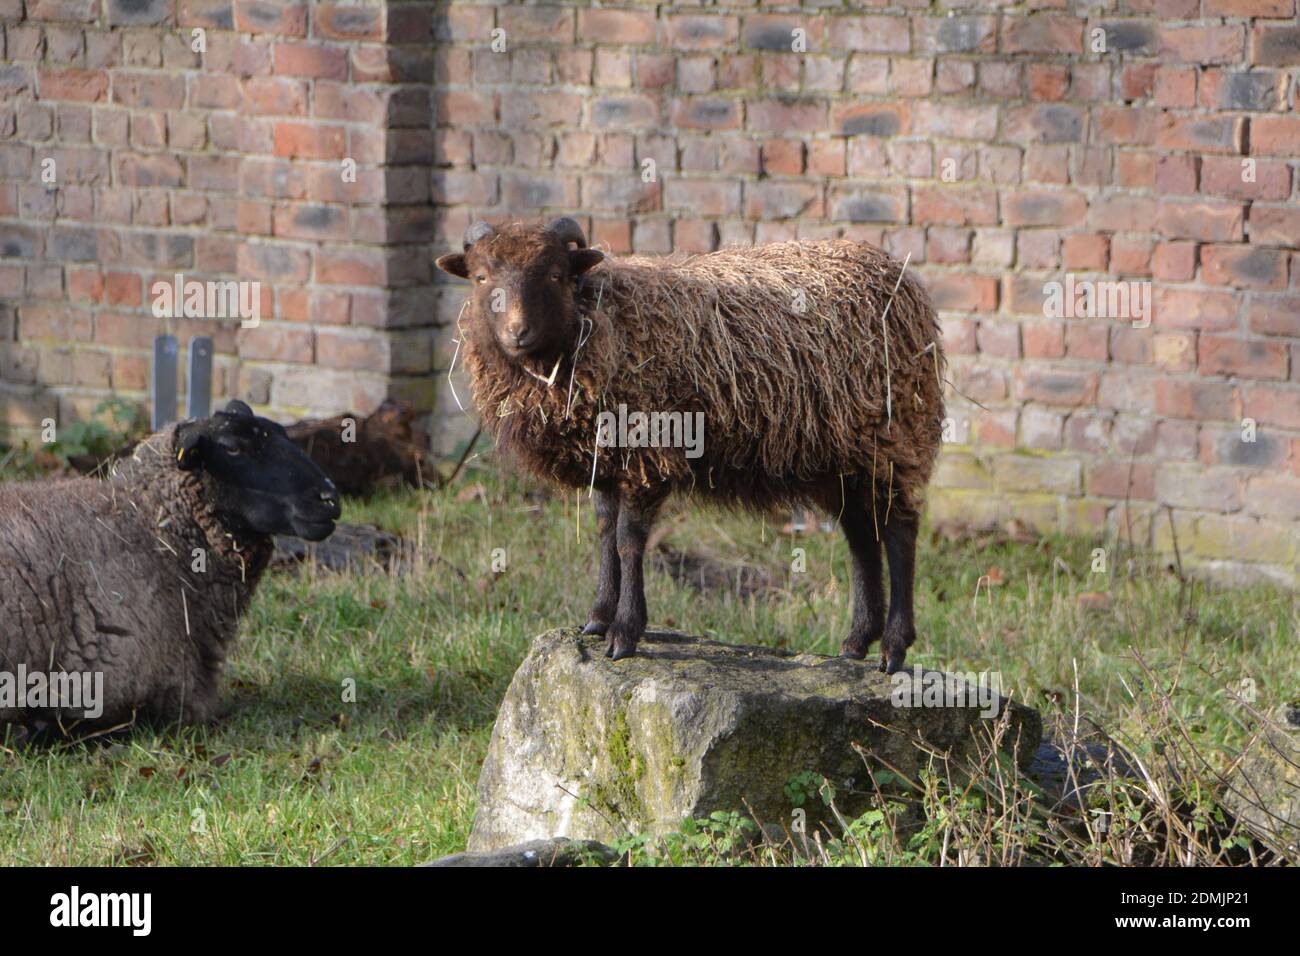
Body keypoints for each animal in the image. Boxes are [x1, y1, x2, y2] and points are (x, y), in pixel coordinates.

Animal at [436, 217, 946, 672]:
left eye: (557, 275)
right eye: (481, 277)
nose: (516, 333)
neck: (601, 321)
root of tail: (902, 277)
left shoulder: (646, 454)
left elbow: (628, 540)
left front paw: (625, 633)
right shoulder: (606, 459)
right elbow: (604, 532)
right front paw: (597, 619)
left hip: (893, 437)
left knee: (900, 532)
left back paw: (893, 648)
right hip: (841, 458)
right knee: (862, 536)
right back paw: (856, 642)